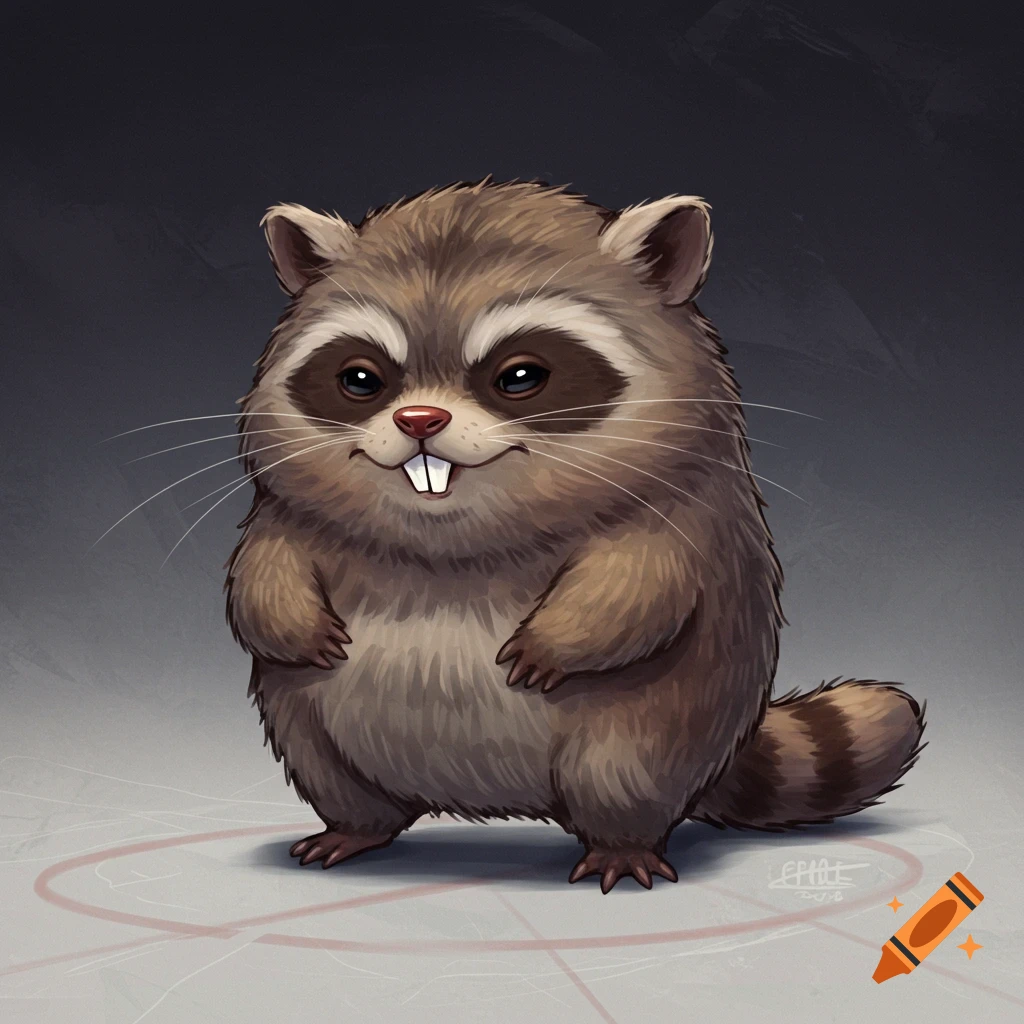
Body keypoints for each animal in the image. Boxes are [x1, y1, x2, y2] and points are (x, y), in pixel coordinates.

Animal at [225, 179, 925, 893]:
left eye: (520, 376)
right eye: (360, 377)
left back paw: (622, 842)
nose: (420, 419)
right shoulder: (286, 513)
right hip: (308, 727)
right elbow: (264, 569)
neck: (449, 535)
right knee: (330, 769)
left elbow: (640, 584)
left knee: (620, 778)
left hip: (655, 729)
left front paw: (559, 639)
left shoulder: (678, 511)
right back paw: (355, 827)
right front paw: (289, 621)